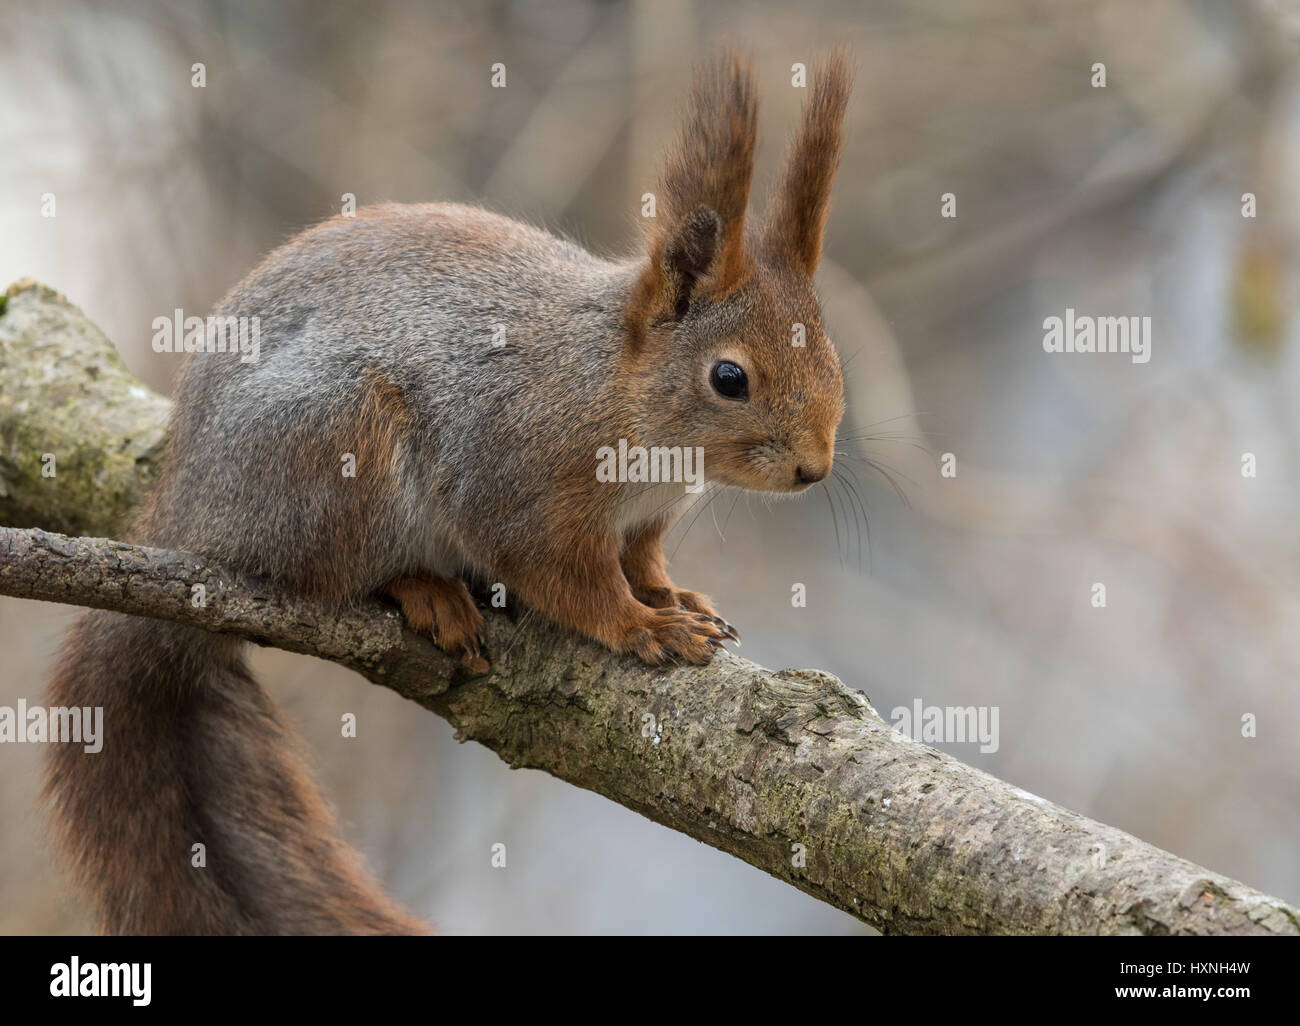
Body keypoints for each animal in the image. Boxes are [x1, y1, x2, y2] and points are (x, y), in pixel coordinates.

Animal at [42, 51, 851, 934]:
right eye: (730, 378)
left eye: (832, 354)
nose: (815, 468)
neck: (621, 394)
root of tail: (187, 516)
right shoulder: (516, 483)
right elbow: (569, 582)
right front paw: (643, 626)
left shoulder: (646, 521)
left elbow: (642, 558)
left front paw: (674, 596)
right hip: (333, 447)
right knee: (326, 574)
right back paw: (424, 588)